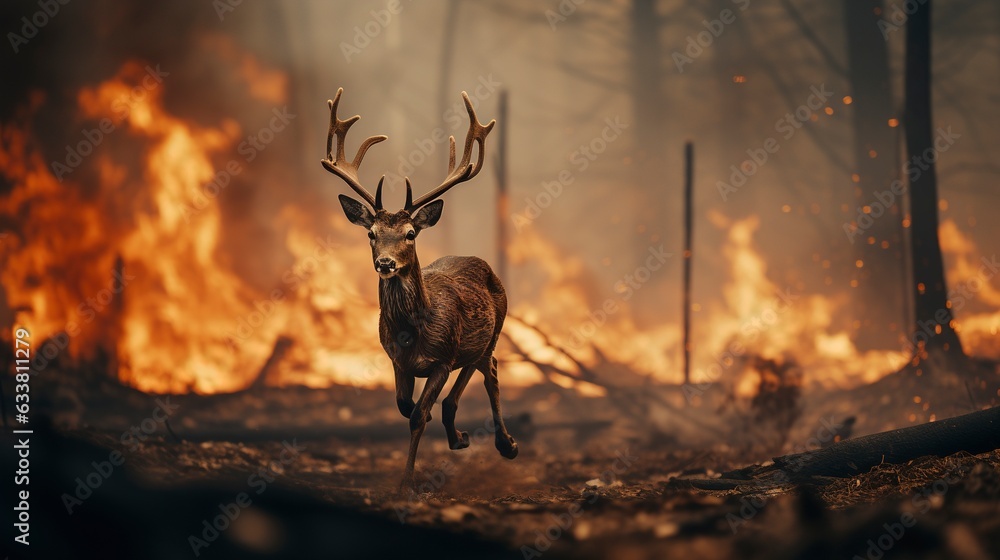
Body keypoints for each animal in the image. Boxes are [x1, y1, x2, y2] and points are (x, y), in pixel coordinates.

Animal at [320, 88, 518, 493]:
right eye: (371, 233)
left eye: (411, 233)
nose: (385, 263)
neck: (412, 333)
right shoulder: (396, 361)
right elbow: (404, 407)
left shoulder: (441, 358)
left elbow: (417, 415)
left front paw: (407, 483)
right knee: (473, 371)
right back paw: (458, 436)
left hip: (497, 325)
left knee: (487, 368)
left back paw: (505, 444)